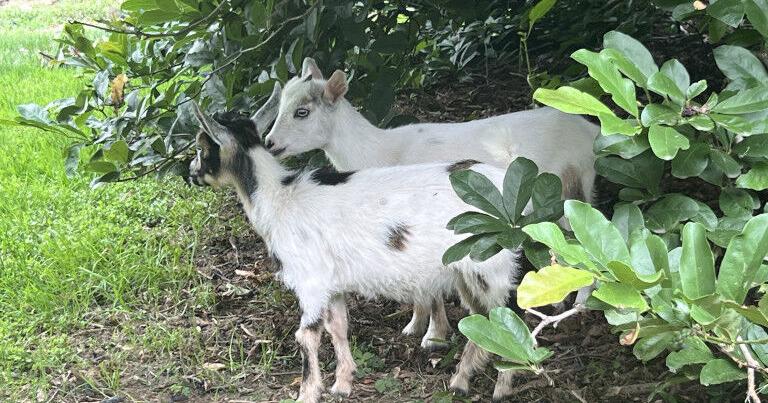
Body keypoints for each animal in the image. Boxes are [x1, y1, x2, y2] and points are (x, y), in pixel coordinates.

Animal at [188, 103, 522, 402]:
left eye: (202, 146)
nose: (189, 173)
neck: (280, 198)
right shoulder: (332, 285)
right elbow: (338, 328)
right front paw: (343, 384)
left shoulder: (311, 280)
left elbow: (306, 336)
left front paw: (308, 393)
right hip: (466, 272)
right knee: (482, 320)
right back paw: (461, 381)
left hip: (489, 266)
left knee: (508, 316)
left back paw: (500, 389)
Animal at [262, 57, 599, 348]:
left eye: (302, 112)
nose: (269, 143)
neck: (380, 151)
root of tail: (589, 129)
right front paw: (414, 325)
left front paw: (434, 336)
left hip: (568, 185)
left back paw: (580, 303)